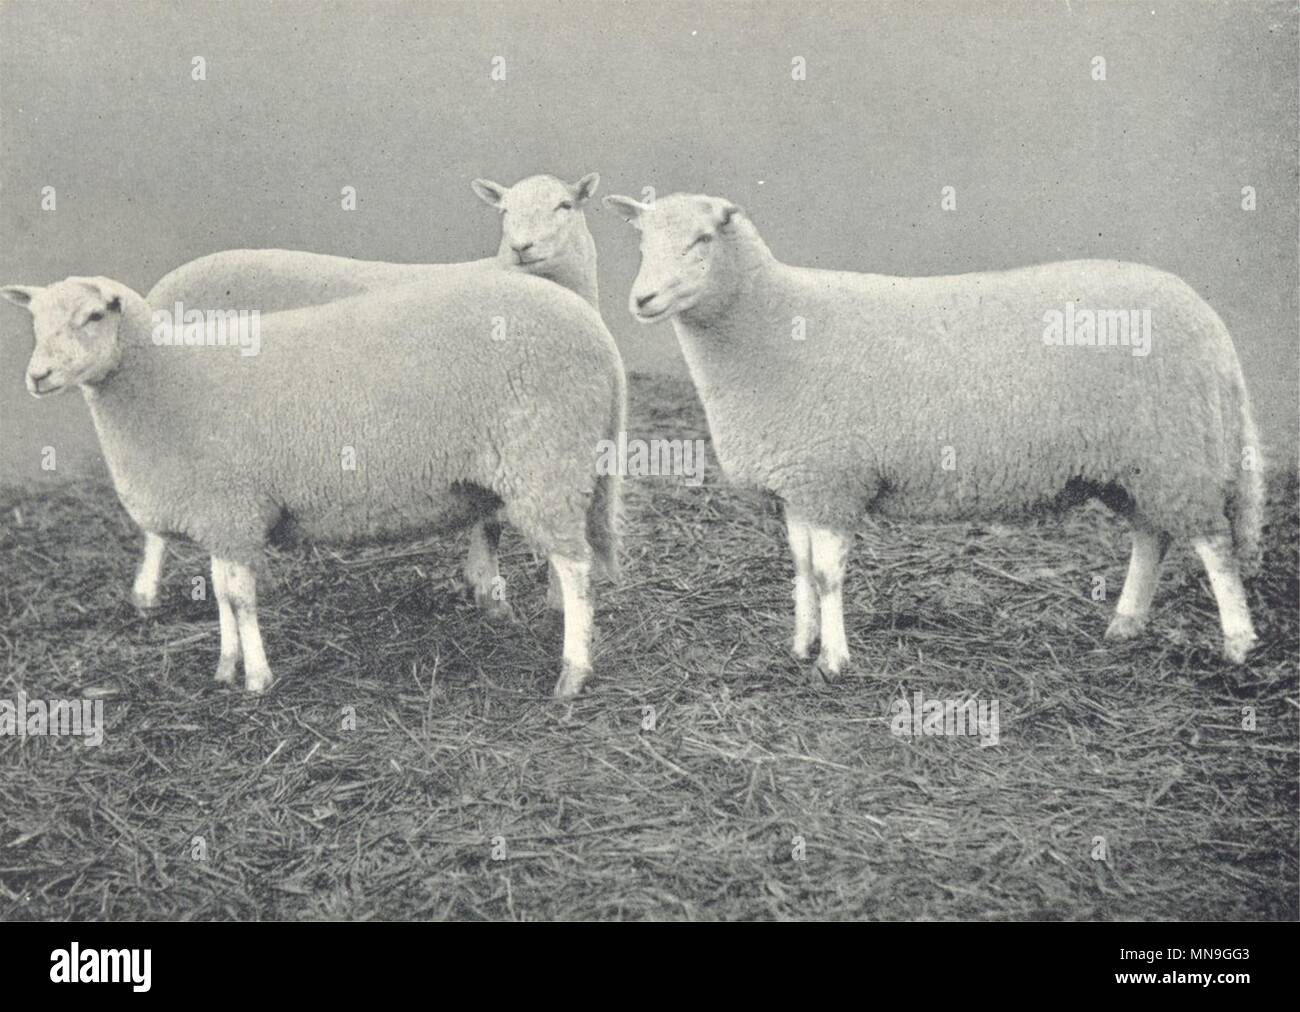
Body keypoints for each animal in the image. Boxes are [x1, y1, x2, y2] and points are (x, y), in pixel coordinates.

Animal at [2, 271, 625, 698]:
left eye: (93, 317)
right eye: (35, 321)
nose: (37, 376)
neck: (163, 377)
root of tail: (597, 330)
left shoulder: (231, 507)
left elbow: (239, 597)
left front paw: (257, 678)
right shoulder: (220, 513)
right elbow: (221, 593)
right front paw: (225, 666)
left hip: (545, 455)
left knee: (576, 568)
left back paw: (573, 672)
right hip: (546, 467)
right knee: (562, 558)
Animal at [131, 172, 602, 617]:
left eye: (565, 205)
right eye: (504, 211)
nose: (522, 247)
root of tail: (158, 292)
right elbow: (491, 520)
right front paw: (494, 593)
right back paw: (147, 594)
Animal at [603, 191, 1264, 680]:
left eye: (702, 241)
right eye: (641, 243)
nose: (642, 298)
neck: (770, 323)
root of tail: (1209, 320)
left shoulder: (832, 478)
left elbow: (828, 575)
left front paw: (835, 661)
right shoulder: (800, 483)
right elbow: (801, 571)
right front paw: (800, 645)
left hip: (1174, 449)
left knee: (1214, 545)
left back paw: (1237, 642)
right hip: (1136, 463)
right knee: (1153, 536)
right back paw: (1125, 624)